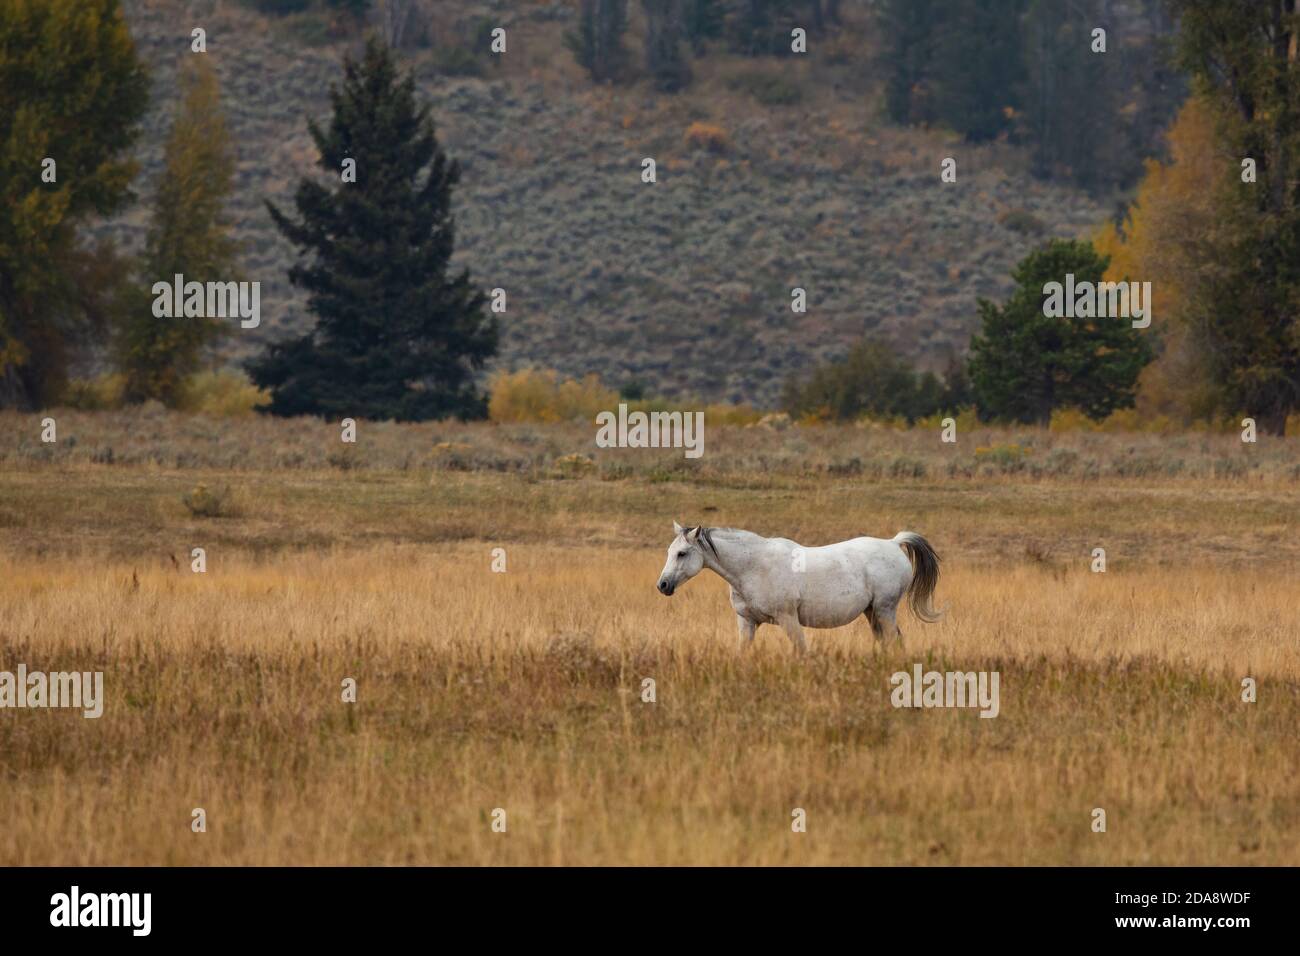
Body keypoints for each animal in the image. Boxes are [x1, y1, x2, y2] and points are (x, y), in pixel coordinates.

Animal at [656, 522, 941, 652]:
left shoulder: (788, 618)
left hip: (884, 610)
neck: (753, 567)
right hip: (872, 612)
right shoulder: (746, 622)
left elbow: (801, 650)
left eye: (682, 553)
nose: (663, 585)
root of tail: (893, 543)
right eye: (669, 551)